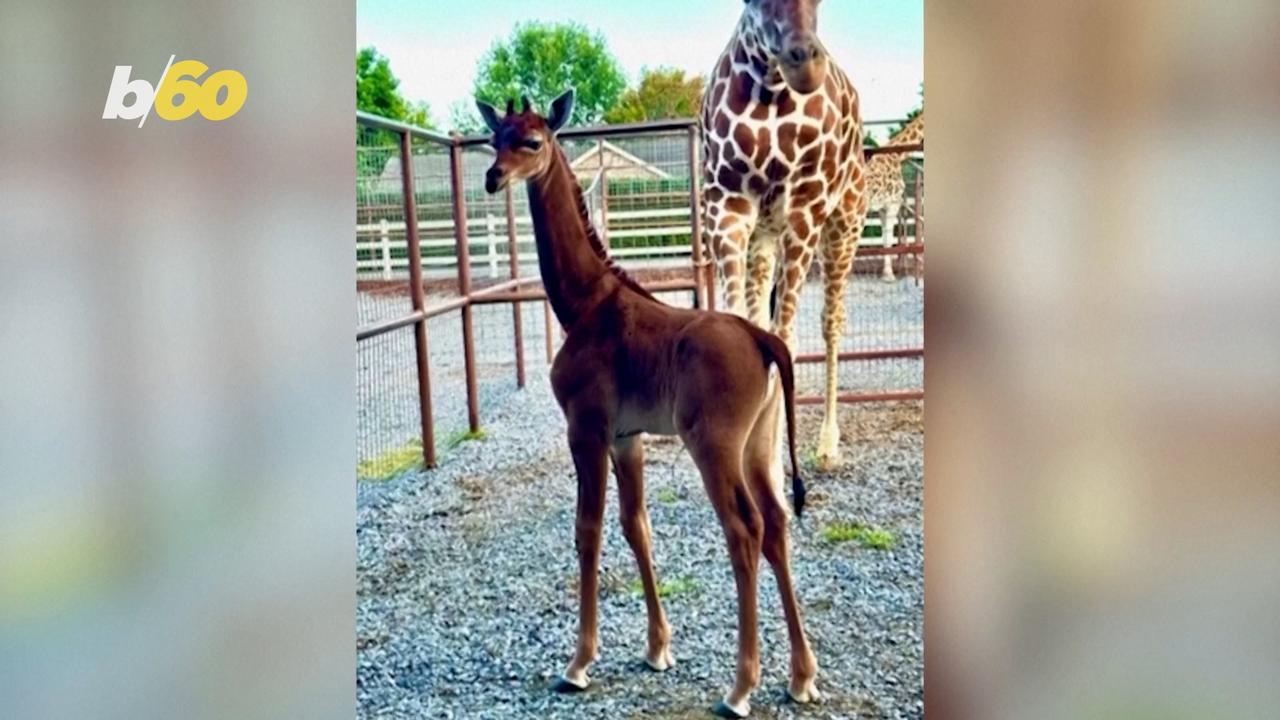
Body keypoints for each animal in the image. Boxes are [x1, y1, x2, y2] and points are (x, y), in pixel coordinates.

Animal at [700, 0, 866, 470]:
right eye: (749, 1)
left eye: (824, 1)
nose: (804, 62)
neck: (770, 91)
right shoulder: (727, 207)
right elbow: (745, 328)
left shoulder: (804, 209)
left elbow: (786, 338)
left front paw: (773, 467)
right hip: (764, 237)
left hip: (844, 225)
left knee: (832, 322)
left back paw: (828, 444)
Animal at [865, 112, 924, 281]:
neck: (898, 154)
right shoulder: (893, 203)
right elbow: (888, 238)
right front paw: (889, 275)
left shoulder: (882, 208)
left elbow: (885, 237)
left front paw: (886, 273)